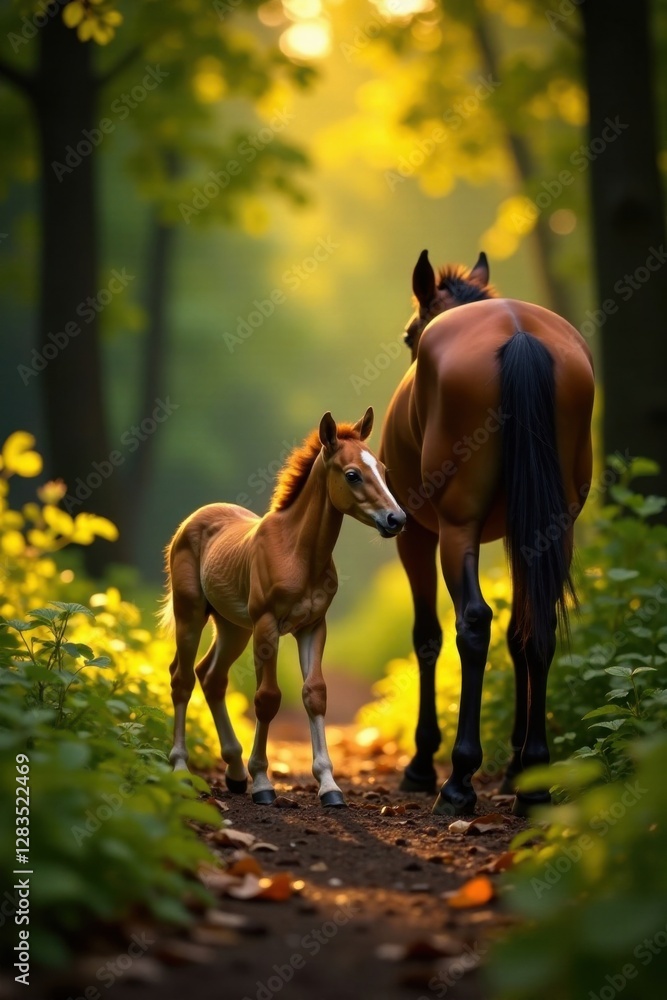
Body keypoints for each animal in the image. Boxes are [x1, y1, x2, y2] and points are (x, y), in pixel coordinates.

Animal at [160, 408, 406, 807]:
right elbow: (267, 697)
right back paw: (181, 768)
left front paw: (329, 786)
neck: (298, 552)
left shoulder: (313, 626)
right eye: (352, 474)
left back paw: (234, 771)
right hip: (192, 615)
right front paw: (263, 782)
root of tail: (190, 521)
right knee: (181, 678)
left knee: (211, 676)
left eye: (383, 469)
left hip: (233, 627)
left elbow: (315, 694)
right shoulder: (267, 624)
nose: (396, 519)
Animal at [379, 250, 595, 816]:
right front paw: (518, 766)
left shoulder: (415, 534)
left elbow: (427, 637)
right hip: (555, 524)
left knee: (473, 624)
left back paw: (458, 780)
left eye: (408, 335)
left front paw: (421, 763)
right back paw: (533, 781)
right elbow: (521, 634)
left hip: (456, 528)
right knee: (536, 628)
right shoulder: (524, 533)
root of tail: (518, 333)